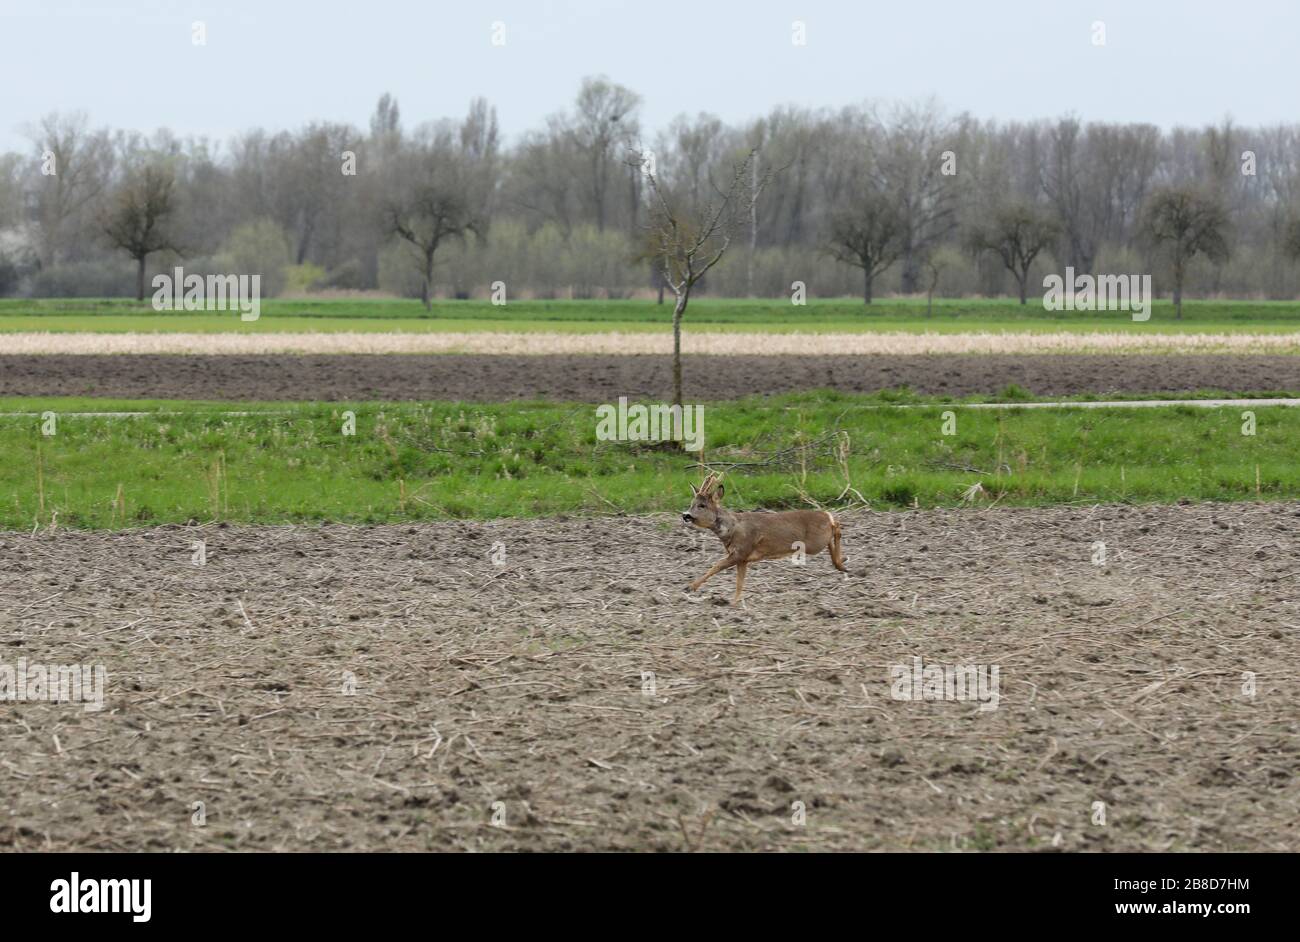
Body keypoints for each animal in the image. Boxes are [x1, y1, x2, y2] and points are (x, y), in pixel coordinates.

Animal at [682, 472, 848, 604]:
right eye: (691, 504)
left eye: (702, 505)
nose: (685, 515)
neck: (731, 528)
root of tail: (825, 514)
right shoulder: (743, 558)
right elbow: (739, 582)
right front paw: (734, 602)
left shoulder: (741, 550)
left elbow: (717, 566)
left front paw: (690, 587)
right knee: (834, 530)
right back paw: (840, 564)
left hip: (815, 543)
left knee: (837, 526)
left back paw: (840, 562)